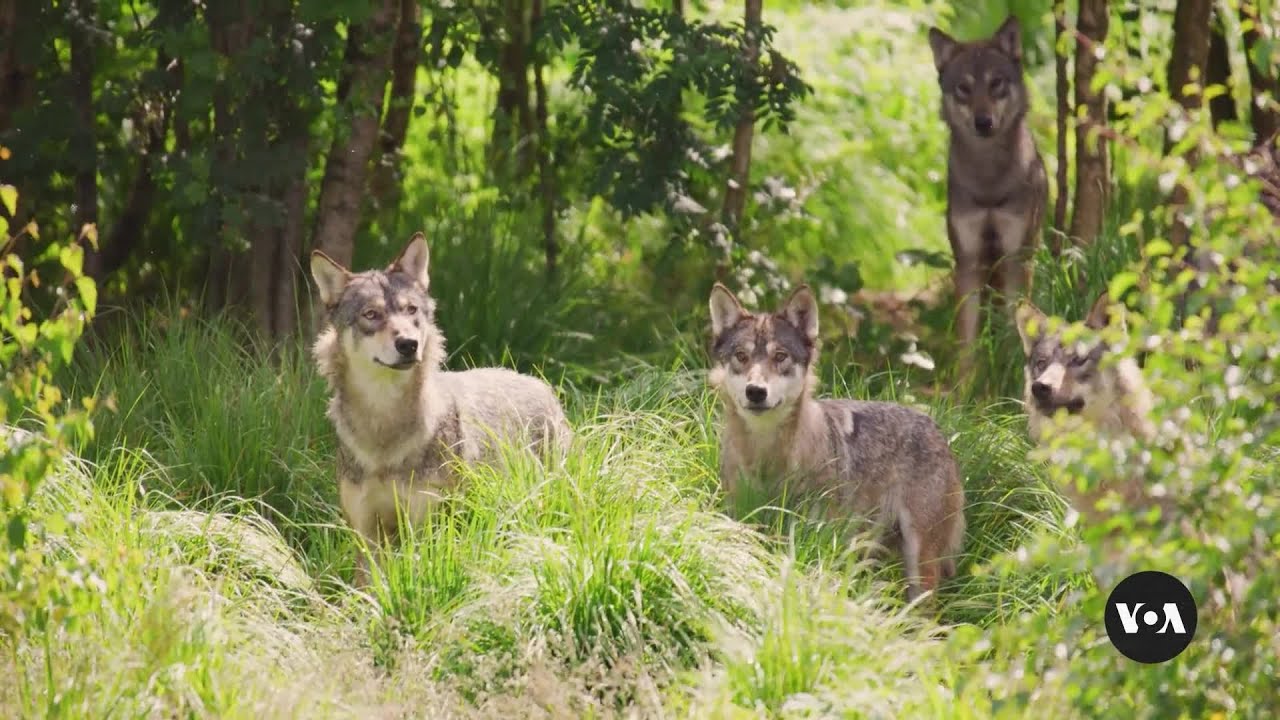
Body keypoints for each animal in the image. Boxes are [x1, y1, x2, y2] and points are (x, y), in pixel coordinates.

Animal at [310, 233, 572, 587]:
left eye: (410, 310)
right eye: (371, 314)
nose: (408, 344)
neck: (383, 435)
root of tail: (542, 386)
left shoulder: (426, 527)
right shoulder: (367, 535)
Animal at [708, 283, 966, 602]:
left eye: (780, 356)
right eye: (741, 356)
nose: (756, 391)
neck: (767, 456)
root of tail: (938, 430)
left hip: (920, 560)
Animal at [928, 15, 1049, 380]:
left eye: (996, 83)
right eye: (964, 88)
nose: (984, 122)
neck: (989, 183)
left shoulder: (1015, 259)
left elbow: (1015, 326)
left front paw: (1009, 374)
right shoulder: (967, 262)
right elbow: (966, 341)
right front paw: (964, 388)